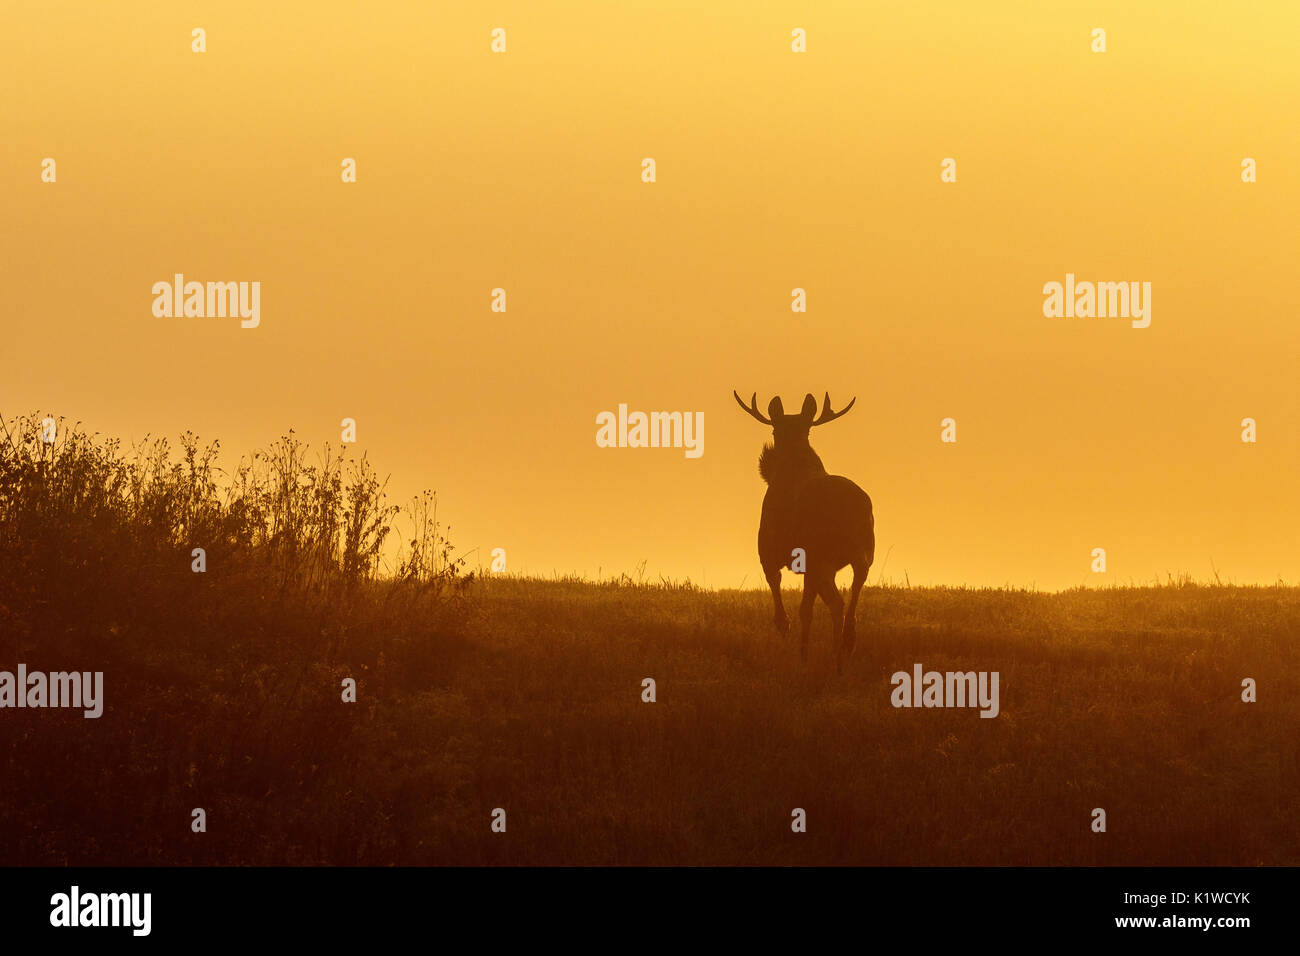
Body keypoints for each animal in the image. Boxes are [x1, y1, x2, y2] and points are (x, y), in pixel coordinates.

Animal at [733, 391, 874, 673]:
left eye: (774, 431)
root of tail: (857, 509)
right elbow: (806, 609)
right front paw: (804, 654)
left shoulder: (768, 552)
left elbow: (778, 589)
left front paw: (784, 627)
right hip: (864, 554)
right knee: (854, 590)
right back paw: (847, 643)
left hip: (821, 556)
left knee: (836, 602)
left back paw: (837, 657)